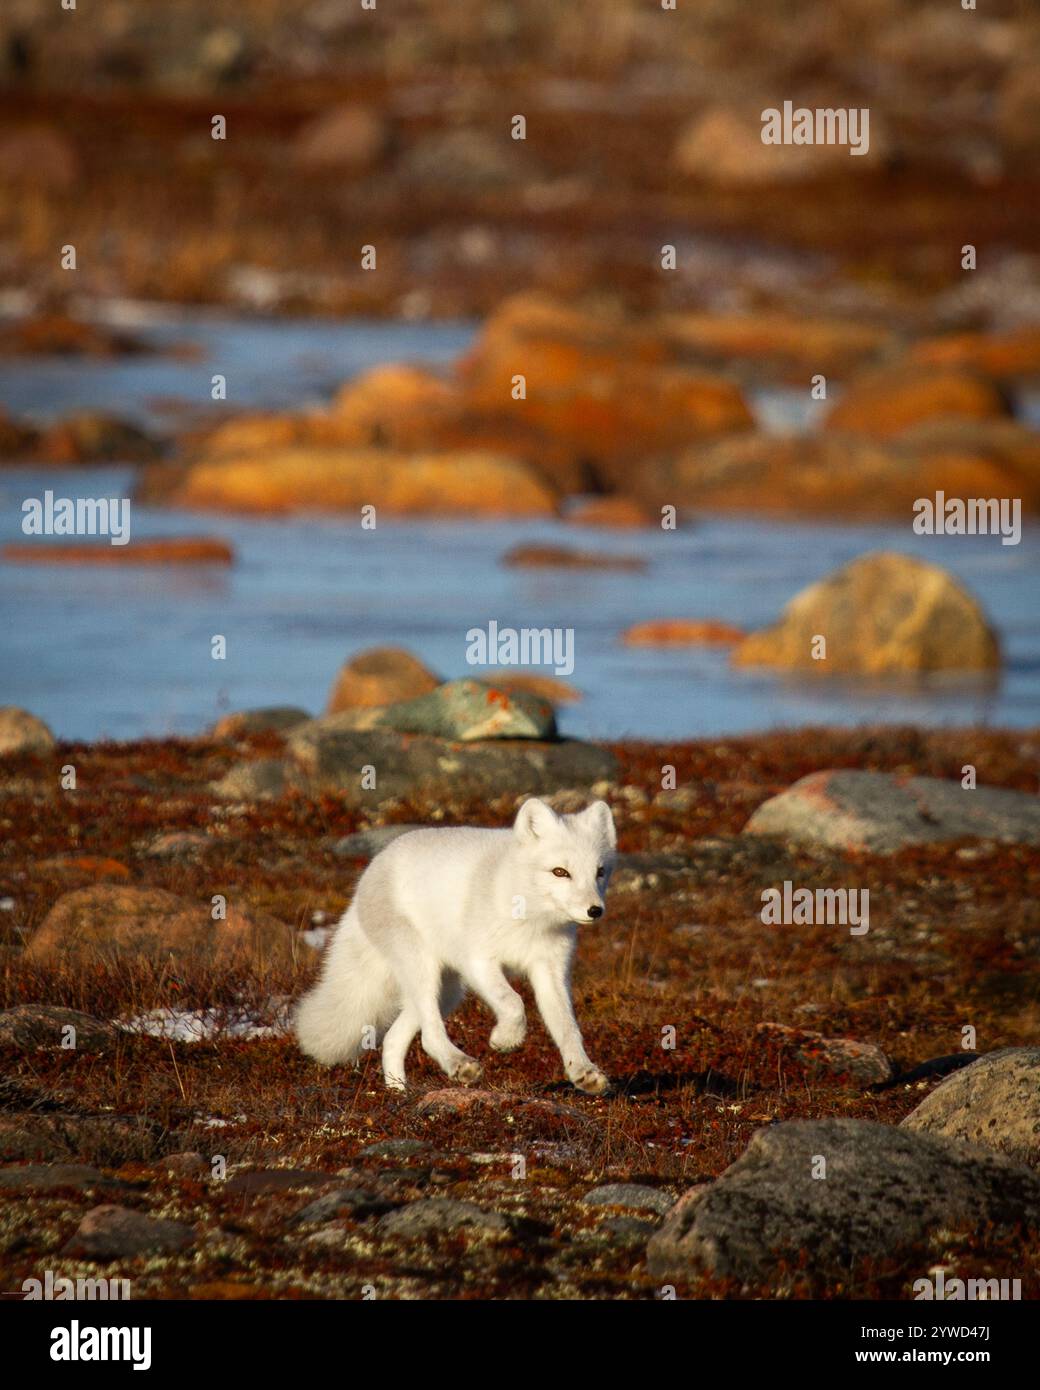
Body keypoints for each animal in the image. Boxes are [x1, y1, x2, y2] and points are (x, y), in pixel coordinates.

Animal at [295, 797, 617, 1093]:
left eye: (599, 872)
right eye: (560, 872)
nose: (595, 910)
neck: (531, 918)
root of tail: (371, 870)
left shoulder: (550, 971)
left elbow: (568, 1027)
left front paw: (584, 1072)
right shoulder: (478, 960)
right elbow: (514, 1002)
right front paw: (505, 1039)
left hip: (447, 991)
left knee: (394, 1038)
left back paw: (398, 1094)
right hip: (423, 967)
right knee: (428, 1035)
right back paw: (459, 1065)